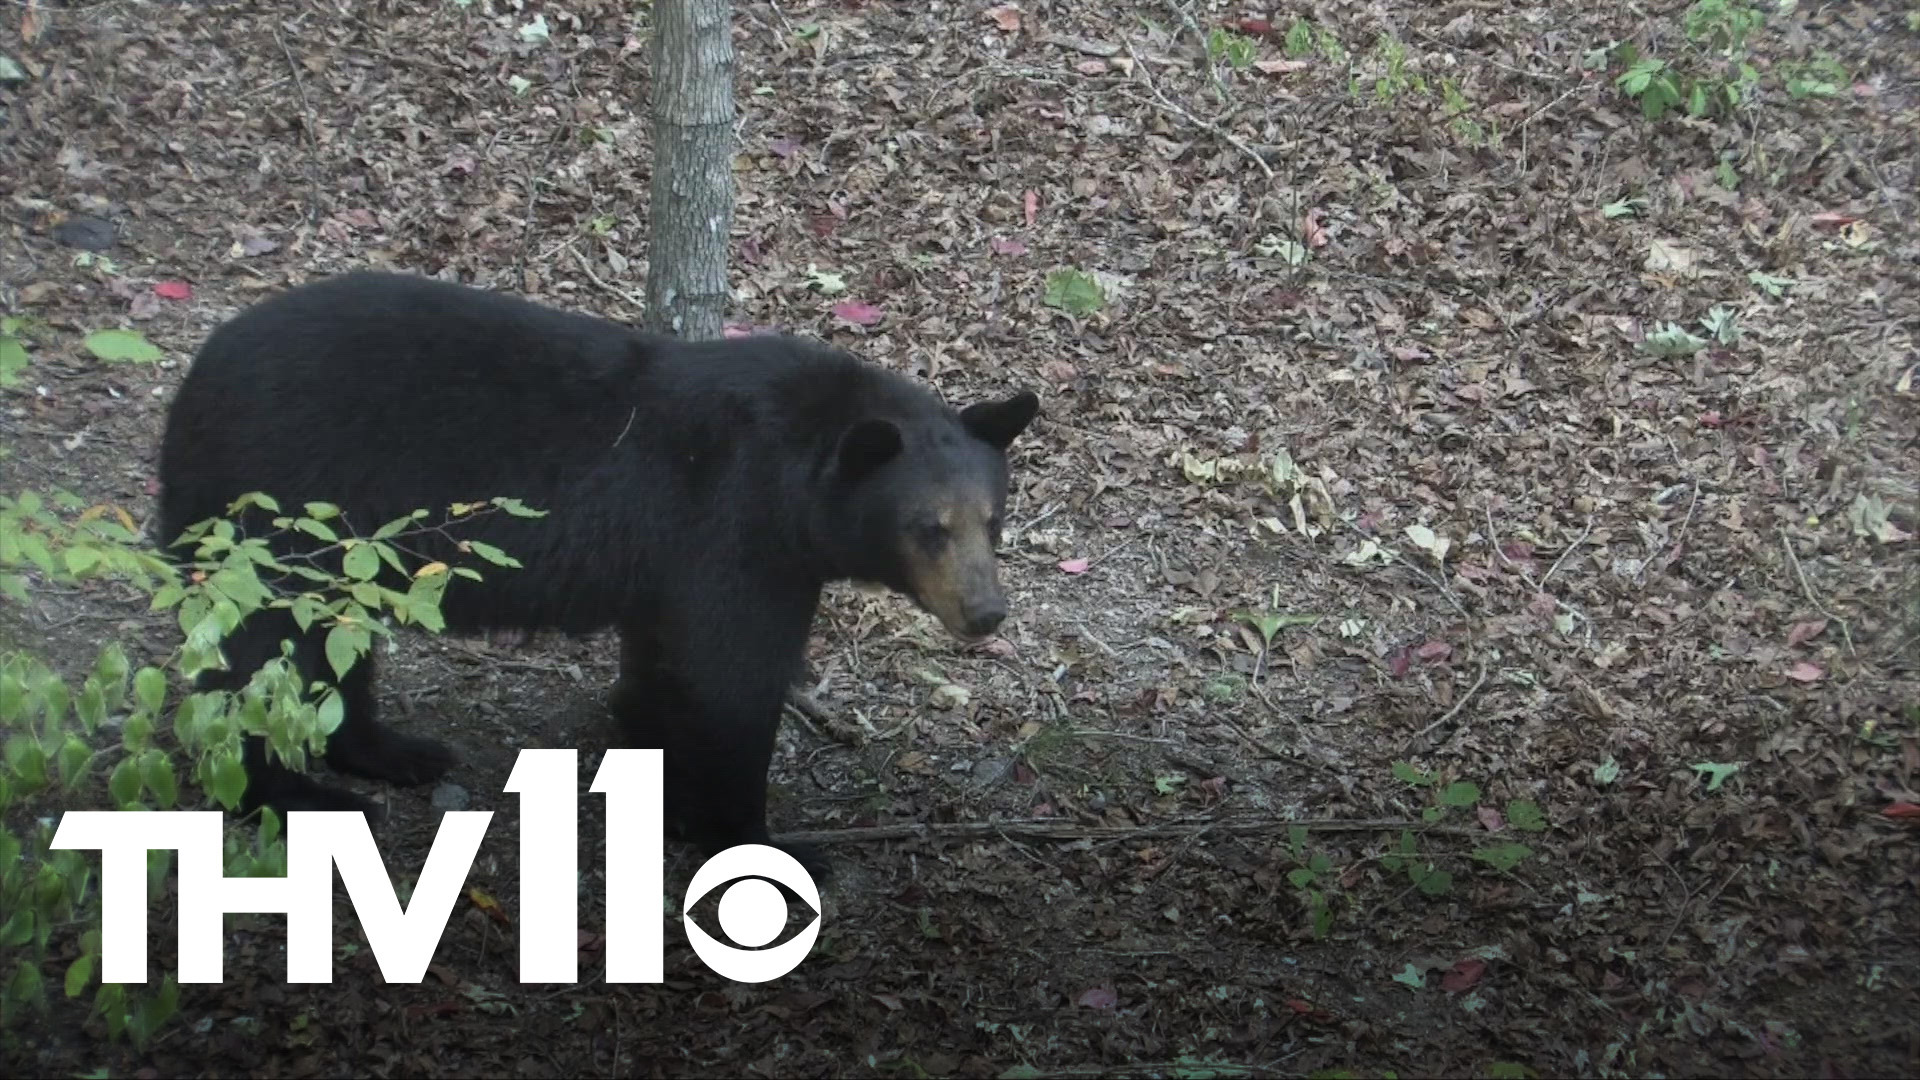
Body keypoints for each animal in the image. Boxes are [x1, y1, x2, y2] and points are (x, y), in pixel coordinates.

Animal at [154, 270, 1040, 875]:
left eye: (992, 521)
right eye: (929, 528)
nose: (986, 612)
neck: (797, 481)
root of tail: (192, 383)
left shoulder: (682, 563)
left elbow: (665, 662)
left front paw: (660, 779)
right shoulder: (738, 534)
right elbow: (733, 680)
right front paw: (758, 835)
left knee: (335, 643)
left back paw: (394, 750)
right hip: (276, 512)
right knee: (263, 650)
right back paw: (296, 794)